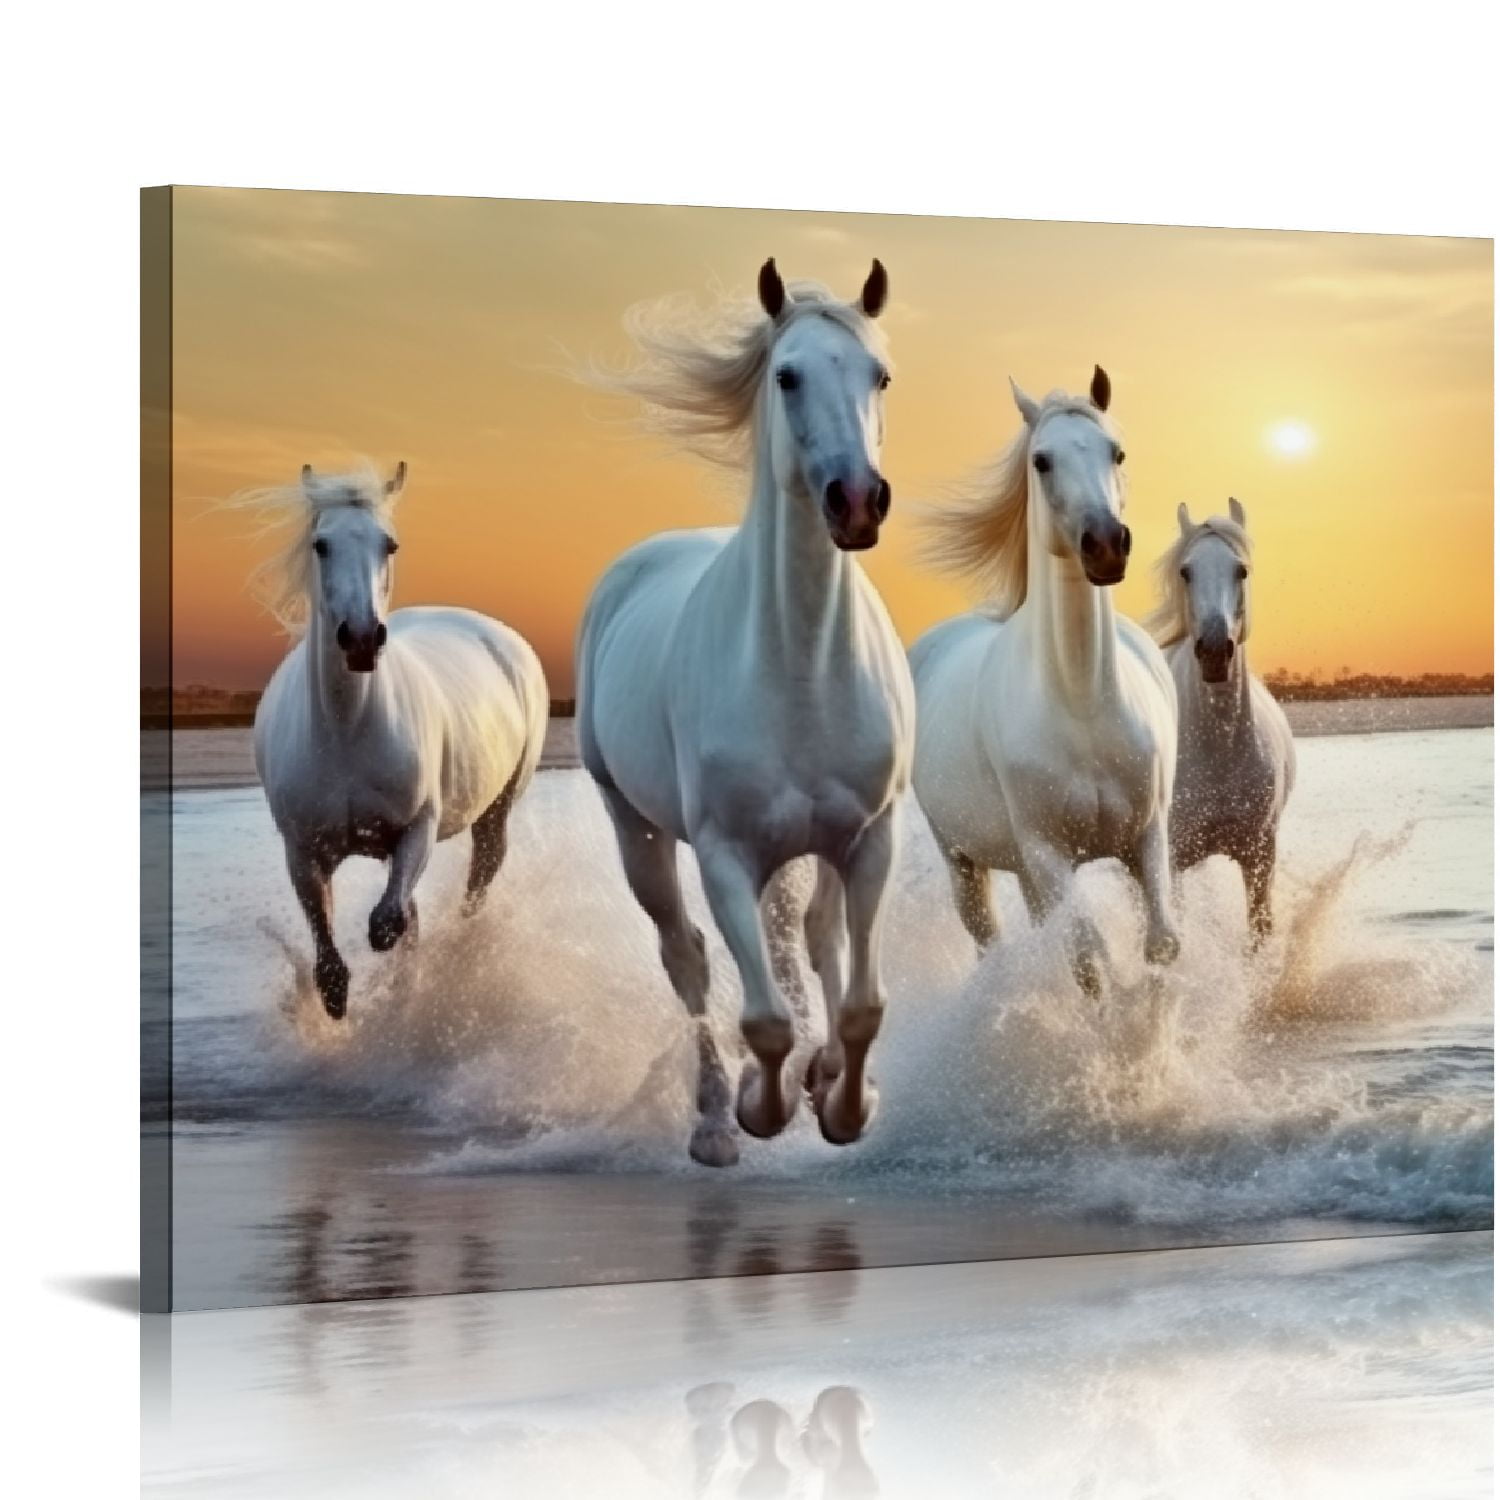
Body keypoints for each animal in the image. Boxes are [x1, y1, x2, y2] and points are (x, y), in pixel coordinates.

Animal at [242, 461, 549, 1019]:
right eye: (321, 544)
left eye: (389, 545)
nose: (362, 638)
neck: (345, 732)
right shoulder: (303, 851)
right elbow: (333, 960)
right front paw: (338, 1001)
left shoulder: (416, 829)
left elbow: (388, 924)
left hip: (495, 813)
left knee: (477, 882)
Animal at [576, 258, 915, 1167]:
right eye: (787, 376)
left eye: (881, 375)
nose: (857, 502)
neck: (800, 667)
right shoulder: (725, 854)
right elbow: (761, 1020)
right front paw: (765, 1109)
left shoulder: (869, 839)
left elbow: (860, 1000)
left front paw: (847, 1105)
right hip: (637, 829)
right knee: (687, 959)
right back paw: (714, 1123)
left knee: (813, 936)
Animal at [909, 368, 1181, 992]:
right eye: (1042, 461)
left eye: (1116, 451)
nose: (1105, 544)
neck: (1082, 708)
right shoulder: (1048, 856)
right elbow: (1088, 958)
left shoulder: (1147, 839)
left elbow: (1161, 944)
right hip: (965, 861)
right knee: (991, 942)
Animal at [1145, 498, 1295, 941]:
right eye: (1186, 571)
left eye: (1241, 570)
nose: (1214, 651)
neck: (1219, 749)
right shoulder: (1173, 857)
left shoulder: (1260, 855)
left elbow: (1259, 934)